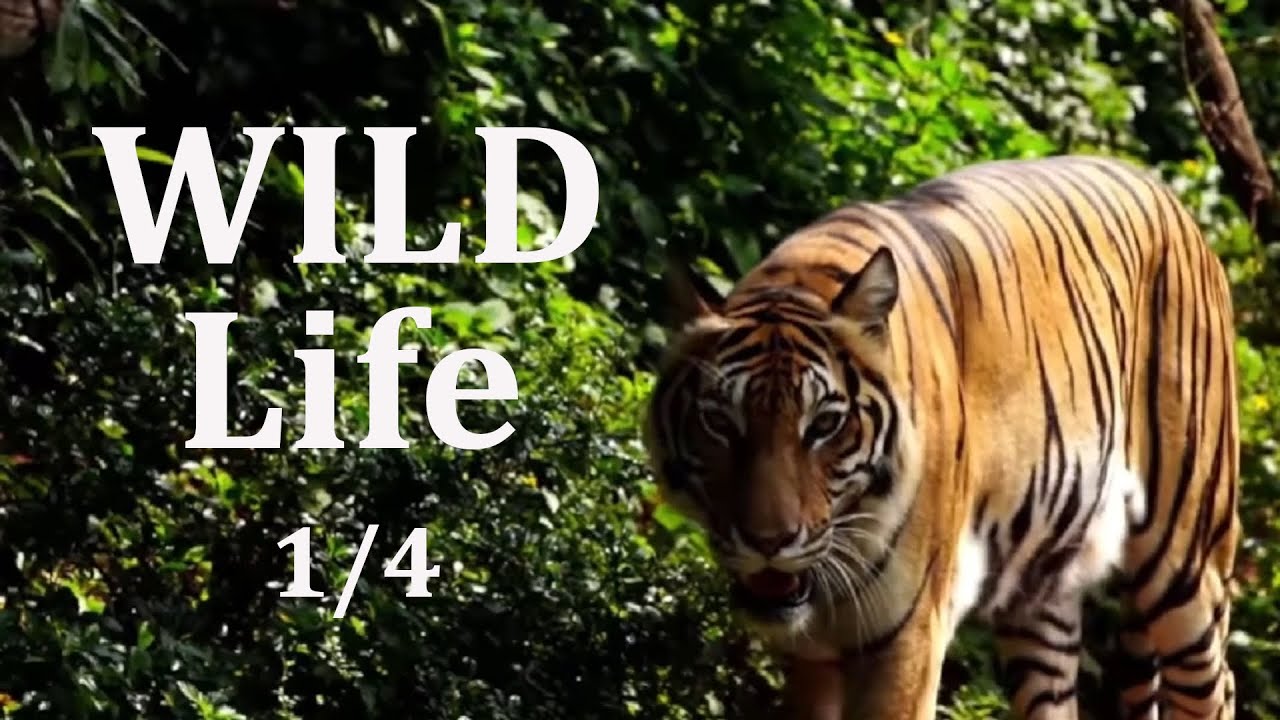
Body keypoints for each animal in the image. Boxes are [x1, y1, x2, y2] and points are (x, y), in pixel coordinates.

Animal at [641, 154, 1240, 720]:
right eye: (720, 422)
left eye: (825, 425)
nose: (769, 543)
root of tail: (1168, 196)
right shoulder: (812, 655)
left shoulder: (908, 640)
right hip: (1042, 591)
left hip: (1184, 558)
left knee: (1216, 683)